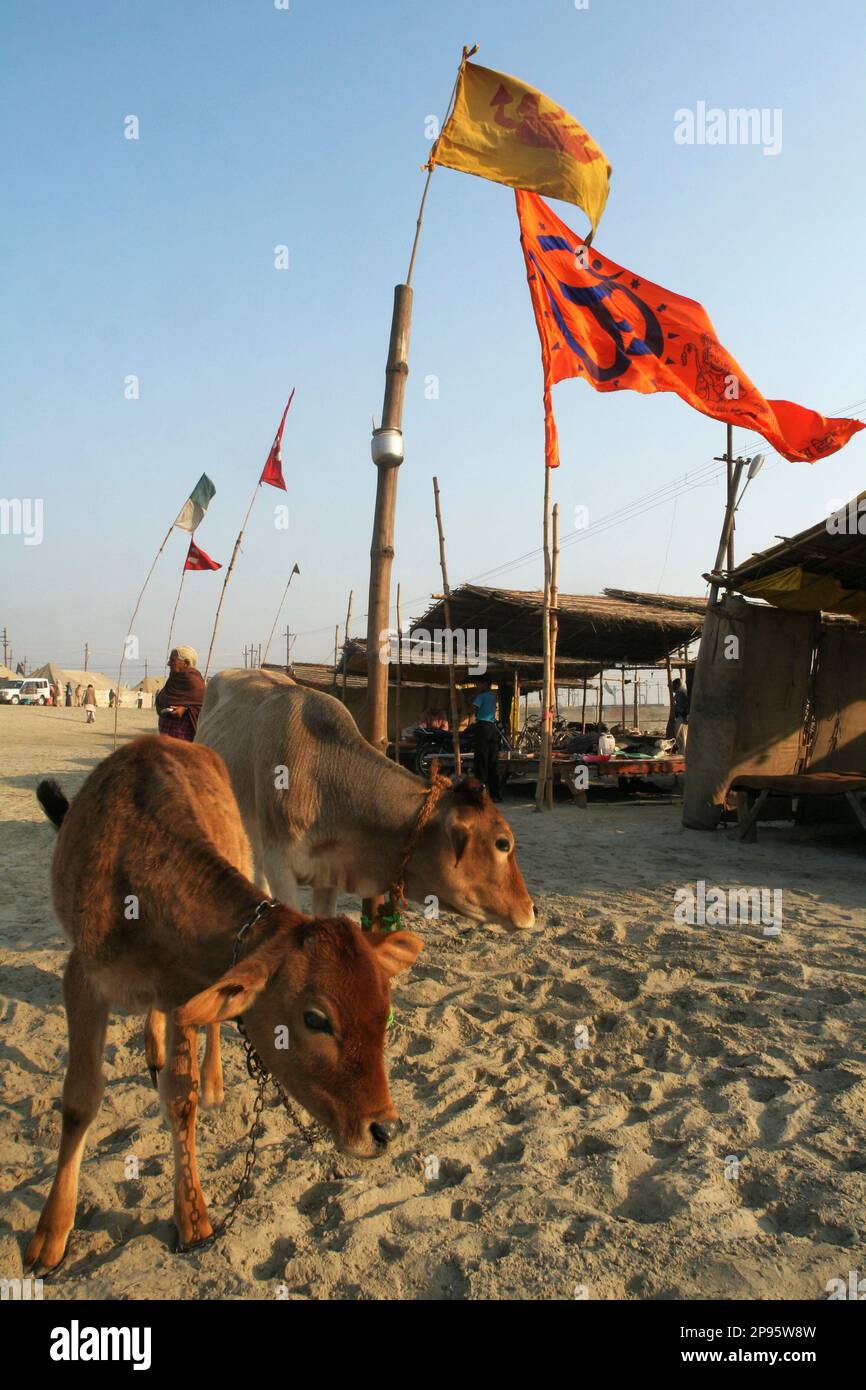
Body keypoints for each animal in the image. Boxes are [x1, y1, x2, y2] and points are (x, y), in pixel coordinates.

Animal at [24, 736, 421, 1271]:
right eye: (316, 1019)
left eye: (385, 1014)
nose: (385, 1130)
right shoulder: (82, 976)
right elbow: (79, 1099)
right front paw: (51, 1233)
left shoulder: (184, 992)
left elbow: (181, 1099)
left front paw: (192, 1216)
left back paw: (210, 1080)